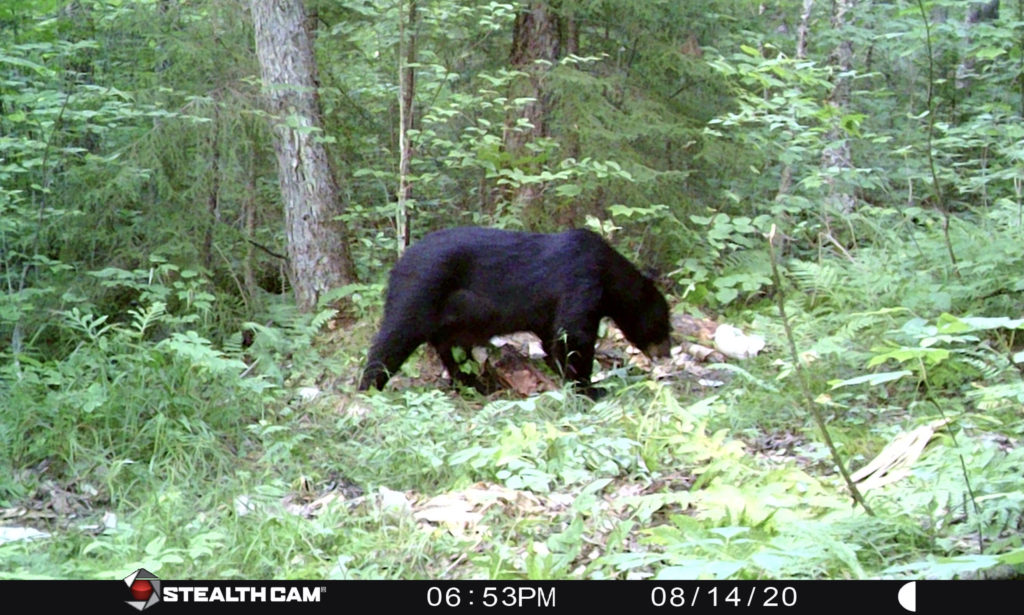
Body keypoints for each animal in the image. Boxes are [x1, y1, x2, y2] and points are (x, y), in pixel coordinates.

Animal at [358, 227, 672, 397]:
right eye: (665, 325)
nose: (666, 353)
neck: (608, 275)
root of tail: (397, 265)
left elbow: (554, 336)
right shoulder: (580, 281)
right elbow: (574, 336)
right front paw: (590, 388)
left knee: (452, 349)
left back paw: (476, 384)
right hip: (421, 290)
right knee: (395, 337)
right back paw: (369, 387)